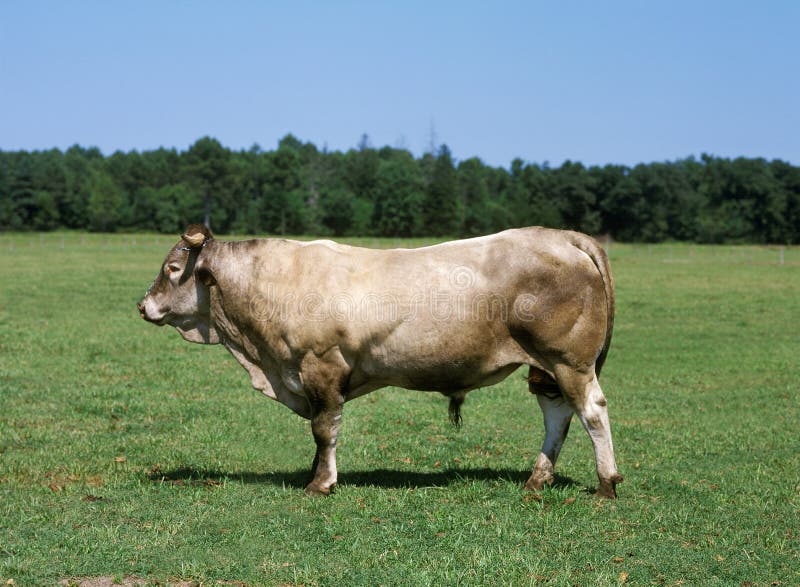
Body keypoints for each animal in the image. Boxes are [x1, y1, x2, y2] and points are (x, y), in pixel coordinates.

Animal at [137, 224, 623, 498]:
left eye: (172, 269)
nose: (143, 306)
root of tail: (560, 236)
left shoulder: (320, 366)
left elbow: (324, 428)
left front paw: (320, 483)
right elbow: (322, 433)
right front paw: (314, 473)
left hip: (569, 360)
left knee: (592, 412)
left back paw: (606, 483)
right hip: (545, 367)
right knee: (557, 415)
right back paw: (537, 481)